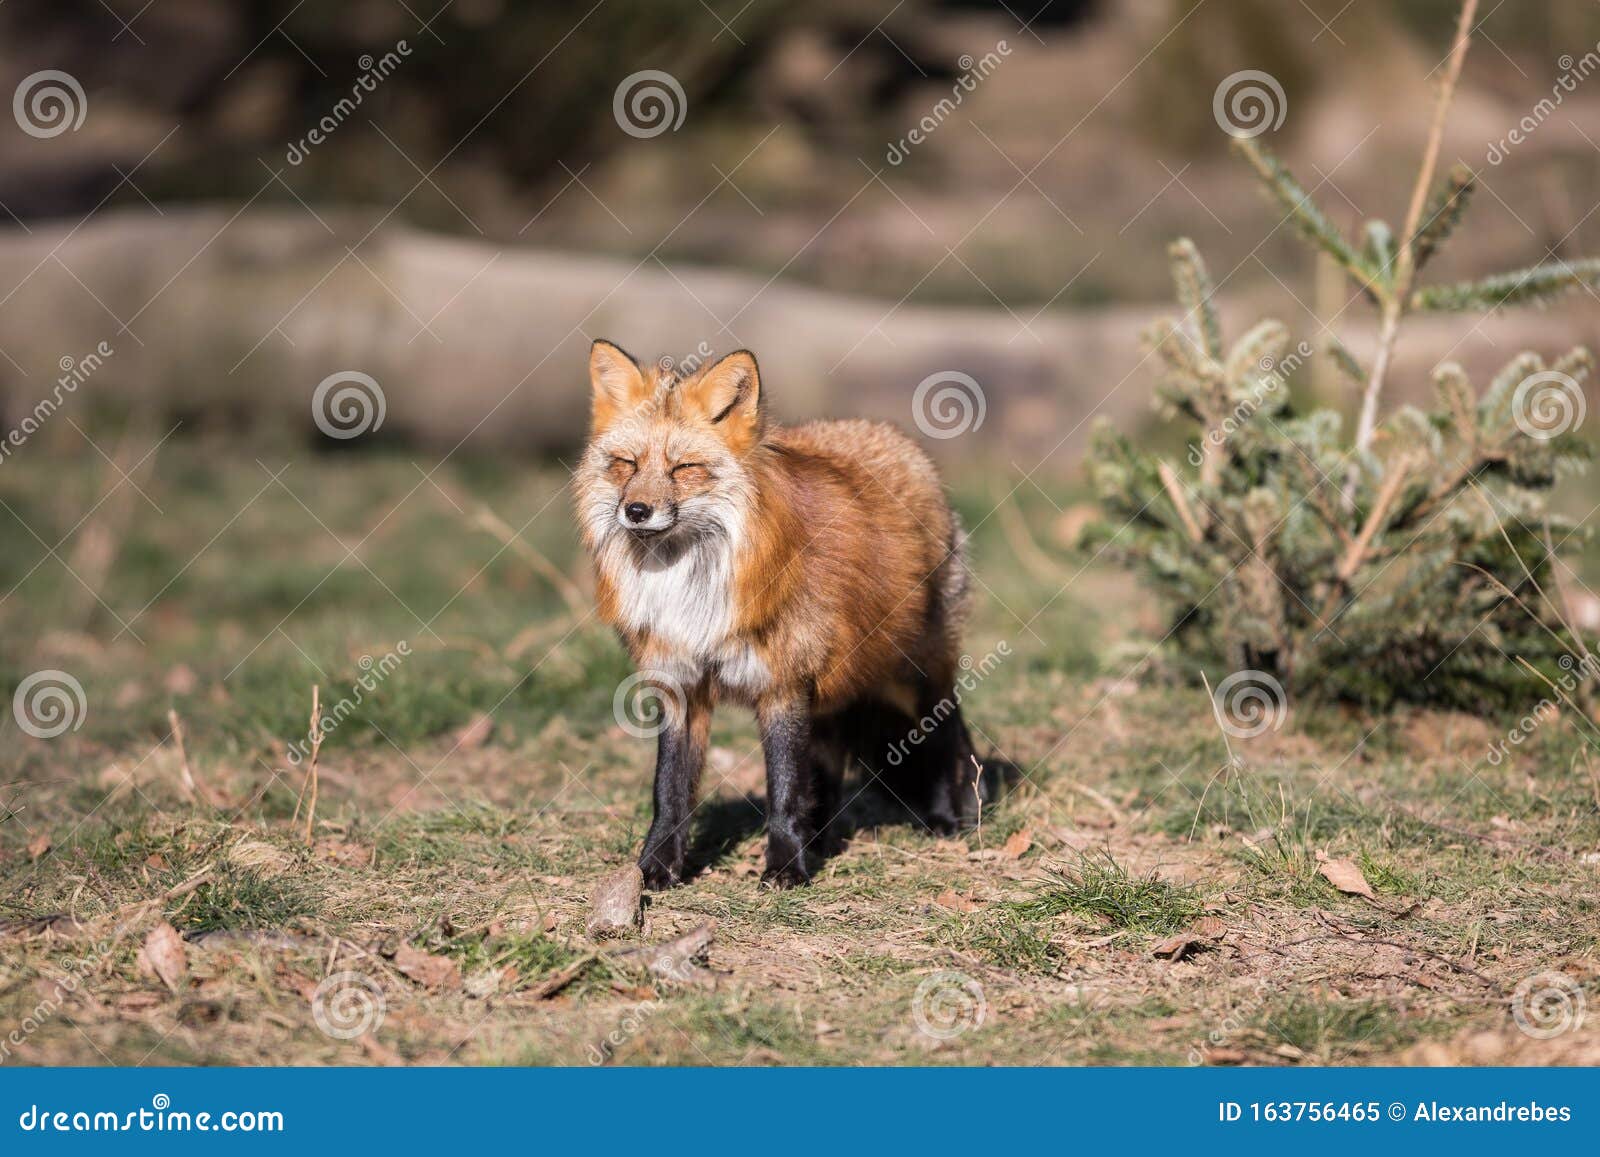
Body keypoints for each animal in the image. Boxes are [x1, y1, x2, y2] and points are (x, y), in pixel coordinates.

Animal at [575, 339, 982, 889]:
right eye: (625, 464)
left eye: (684, 468)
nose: (636, 511)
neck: (692, 588)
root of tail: (894, 437)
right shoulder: (680, 683)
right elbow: (670, 791)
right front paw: (656, 868)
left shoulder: (783, 684)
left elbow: (785, 788)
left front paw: (787, 867)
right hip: (836, 686)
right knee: (827, 766)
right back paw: (823, 839)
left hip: (913, 670)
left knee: (944, 732)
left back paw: (943, 818)